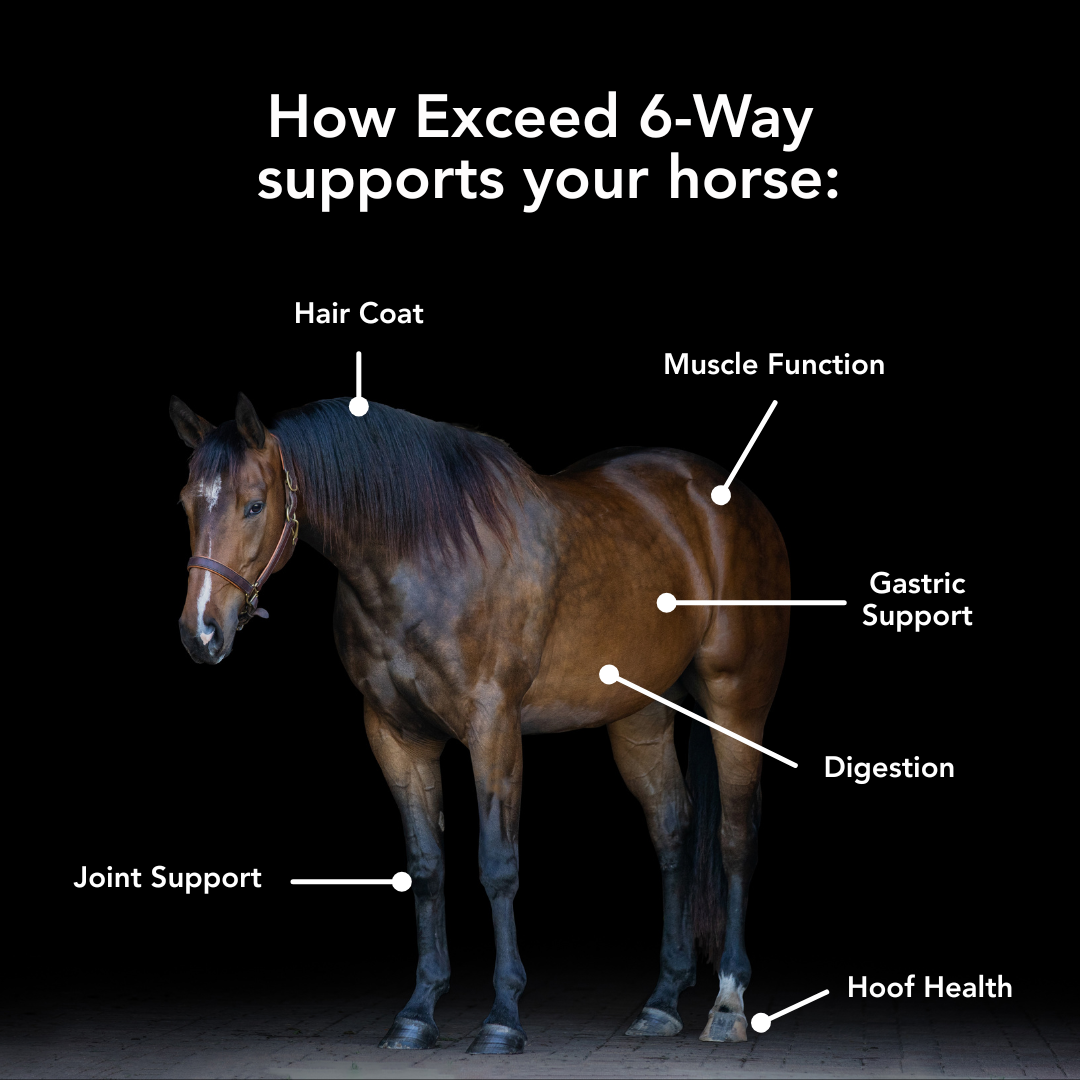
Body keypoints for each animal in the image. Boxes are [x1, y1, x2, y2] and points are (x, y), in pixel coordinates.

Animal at [171, 392, 790, 1054]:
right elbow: (425, 868)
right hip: (640, 716)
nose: (201, 633)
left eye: (254, 504)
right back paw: (662, 1001)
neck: (421, 554)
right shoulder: (396, 735)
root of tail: (728, 500)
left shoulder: (493, 726)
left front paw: (502, 1018)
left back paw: (727, 1003)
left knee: (735, 836)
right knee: (672, 831)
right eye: (186, 503)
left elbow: (497, 864)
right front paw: (417, 1013)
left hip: (737, 700)